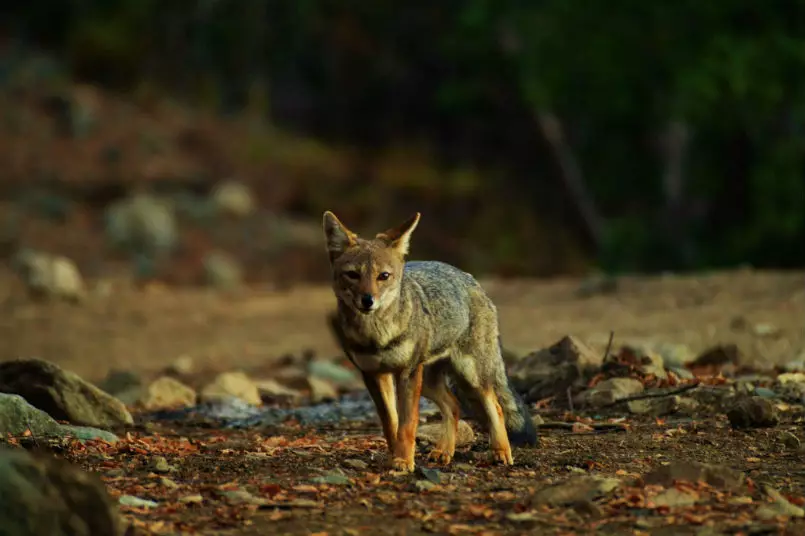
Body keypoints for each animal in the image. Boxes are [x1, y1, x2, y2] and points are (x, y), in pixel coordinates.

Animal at [320, 211, 532, 472]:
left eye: (383, 276)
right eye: (353, 275)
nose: (367, 300)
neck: (377, 336)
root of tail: (469, 277)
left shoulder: (407, 373)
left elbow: (407, 424)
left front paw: (403, 461)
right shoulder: (374, 375)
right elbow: (391, 423)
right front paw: (395, 456)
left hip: (470, 376)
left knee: (497, 407)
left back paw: (501, 451)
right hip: (430, 383)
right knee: (454, 406)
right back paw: (444, 452)